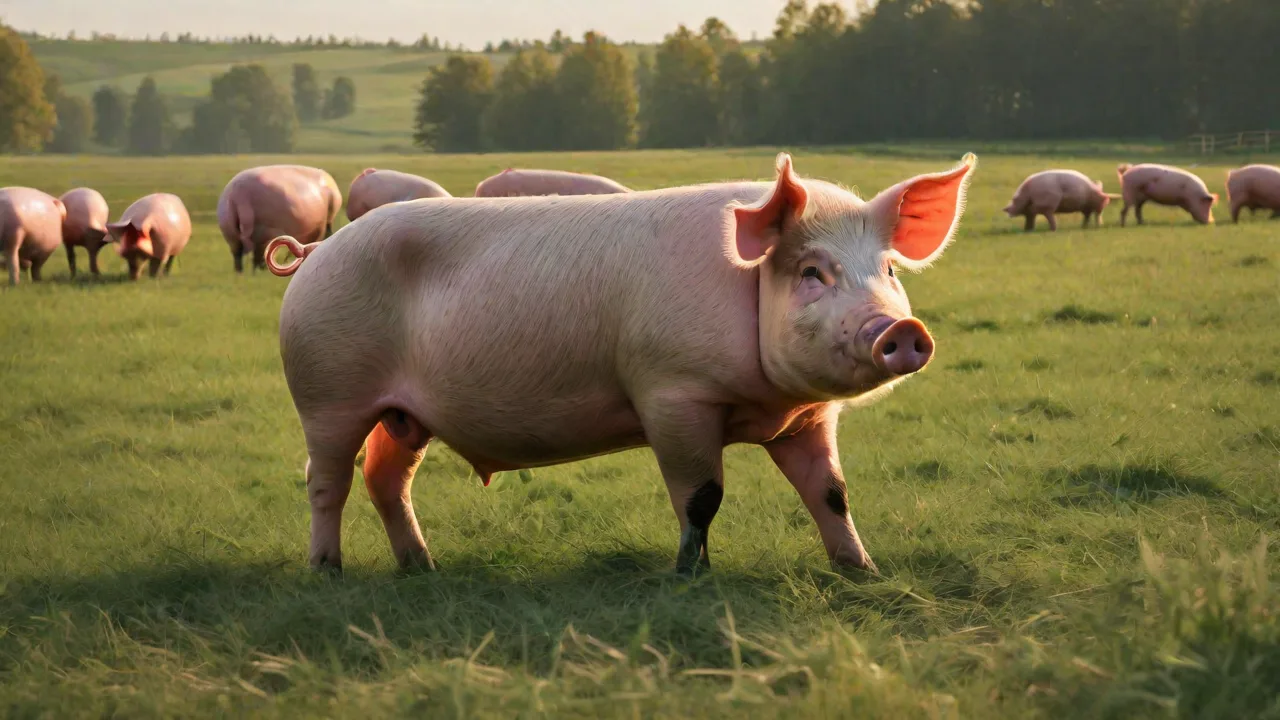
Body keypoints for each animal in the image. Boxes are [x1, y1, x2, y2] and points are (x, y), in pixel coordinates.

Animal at [265, 152, 977, 575]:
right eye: (811, 272)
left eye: (888, 270)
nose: (902, 329)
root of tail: (314, 252)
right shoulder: (671, 392)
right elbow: (701, 496)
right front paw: (691, 578)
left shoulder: (807, 417)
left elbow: (830, 492)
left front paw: (864, 573)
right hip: (326, 392)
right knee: (325, 480)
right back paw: (327, 571)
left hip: (403, 414)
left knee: (387, 478)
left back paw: (423, 568)